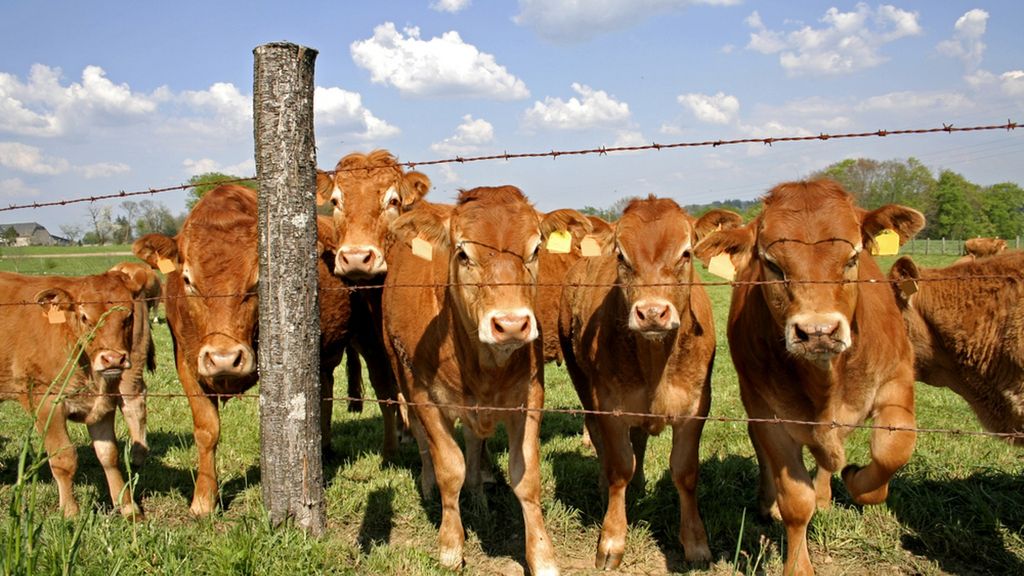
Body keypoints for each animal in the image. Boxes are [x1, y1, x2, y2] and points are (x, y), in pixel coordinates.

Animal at [0, 269, 146, 517]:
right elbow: (64, 458)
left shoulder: (104, 403)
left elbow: (109, 455)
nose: (113, 359)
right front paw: (70, 512)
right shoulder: (46, 403)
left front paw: (127, 506)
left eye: (128, 316)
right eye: (85, 317)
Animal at [133, 184, 370, 515]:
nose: (224, 359)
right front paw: (203, 500)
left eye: (257, 282)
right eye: (188, 280)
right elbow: (206, 430)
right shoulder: (186, 361)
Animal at [383, 186, 590, 574]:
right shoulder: (426, 398)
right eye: (463, 253)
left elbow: (526, 475)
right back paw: (429, 485)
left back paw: (479, 494)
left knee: (474, 441)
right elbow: (450, 468)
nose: (510, 324)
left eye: (535, 250)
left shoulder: (529, 397)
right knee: (421, 437)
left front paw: (542, 555)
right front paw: (450, 545)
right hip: (400, 372)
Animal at [559, 197, 741, 569]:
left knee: (639, 440)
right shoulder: (610, 405)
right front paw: (612, 541)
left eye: (686, 253)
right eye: (621, 256)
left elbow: (685, 472)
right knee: (599, 436)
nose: (653, 313)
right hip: (580, 378)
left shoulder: (695, 408)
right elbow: (619, 467)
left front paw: (696, 544)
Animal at [693, 179, 925, 575]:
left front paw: (856, 479)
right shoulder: (769, 411)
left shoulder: (896, 379)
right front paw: (798, 563)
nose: (818, 331)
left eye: (853, 257)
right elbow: (795, 500)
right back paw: (768, 501)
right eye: (772, 263)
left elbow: (892, 449)